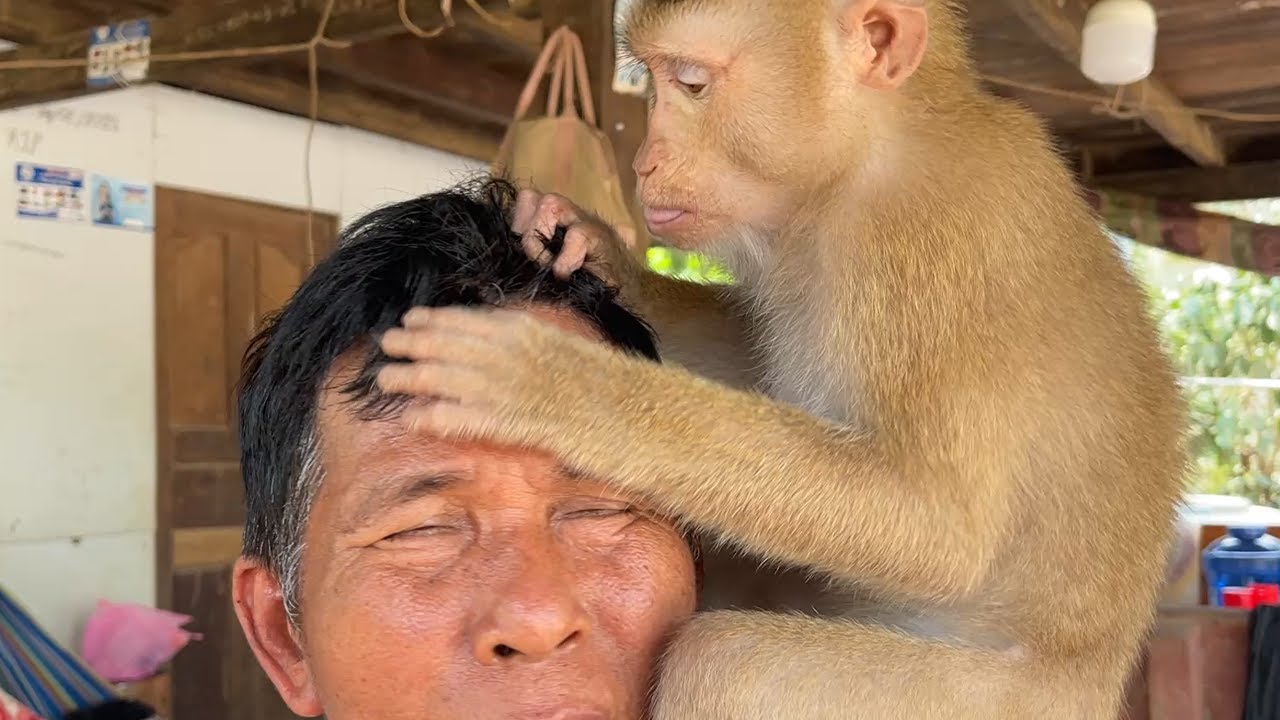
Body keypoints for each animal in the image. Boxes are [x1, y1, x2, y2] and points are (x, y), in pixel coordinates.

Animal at [372, 0, 1188, 718]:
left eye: (692, 83)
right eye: (653, 78)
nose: (645, 161)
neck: (854, 168)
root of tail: (1099, 682)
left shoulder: (929, 237)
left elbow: (939, 525)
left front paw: (555, 387)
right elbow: (747, 349)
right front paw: (596, 249)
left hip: (990, 703)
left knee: (726, 665)